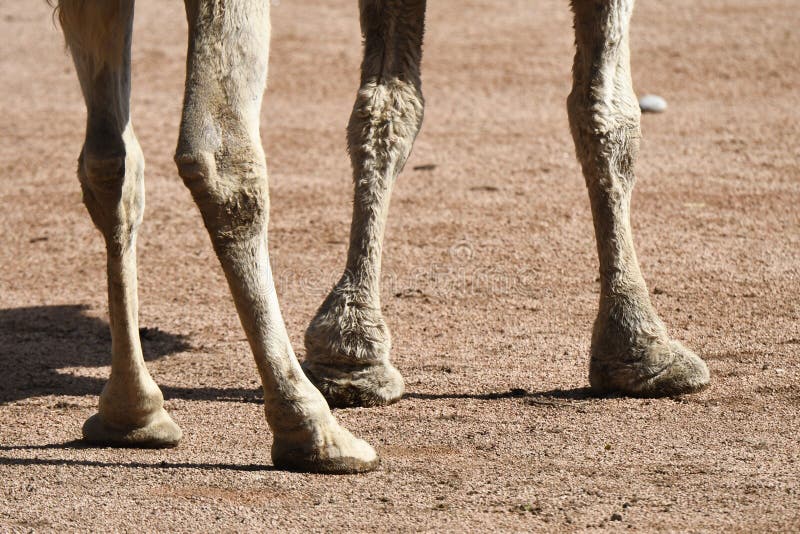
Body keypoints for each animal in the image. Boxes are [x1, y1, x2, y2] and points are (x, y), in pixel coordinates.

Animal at [53, 0, 710, 474]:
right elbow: (610, 109)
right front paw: (644, 345)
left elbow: (388, 104)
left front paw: (351, 349)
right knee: (218, 156)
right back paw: (313, 431)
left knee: (110, 162)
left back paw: (131, 413)